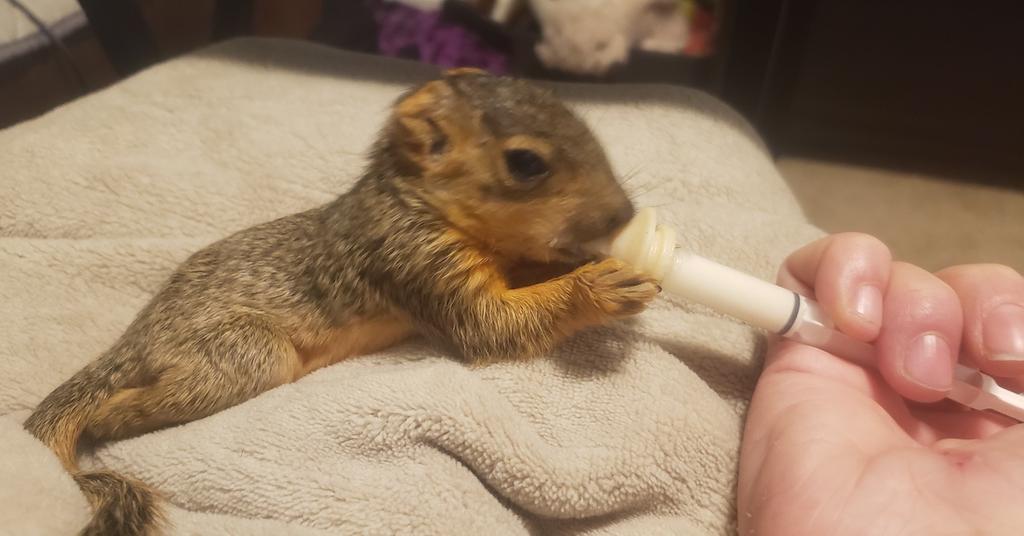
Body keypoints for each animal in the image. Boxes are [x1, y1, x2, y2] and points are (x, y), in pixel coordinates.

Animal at [23, 68, 659, 536]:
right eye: (525, 162)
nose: (623, 215)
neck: (411, 196)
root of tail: (138, 335)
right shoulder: (413, 255)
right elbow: (487, 325)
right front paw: (597, 287)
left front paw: (595, 263)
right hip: (240, 352)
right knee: (126, 409)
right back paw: (108, 419)